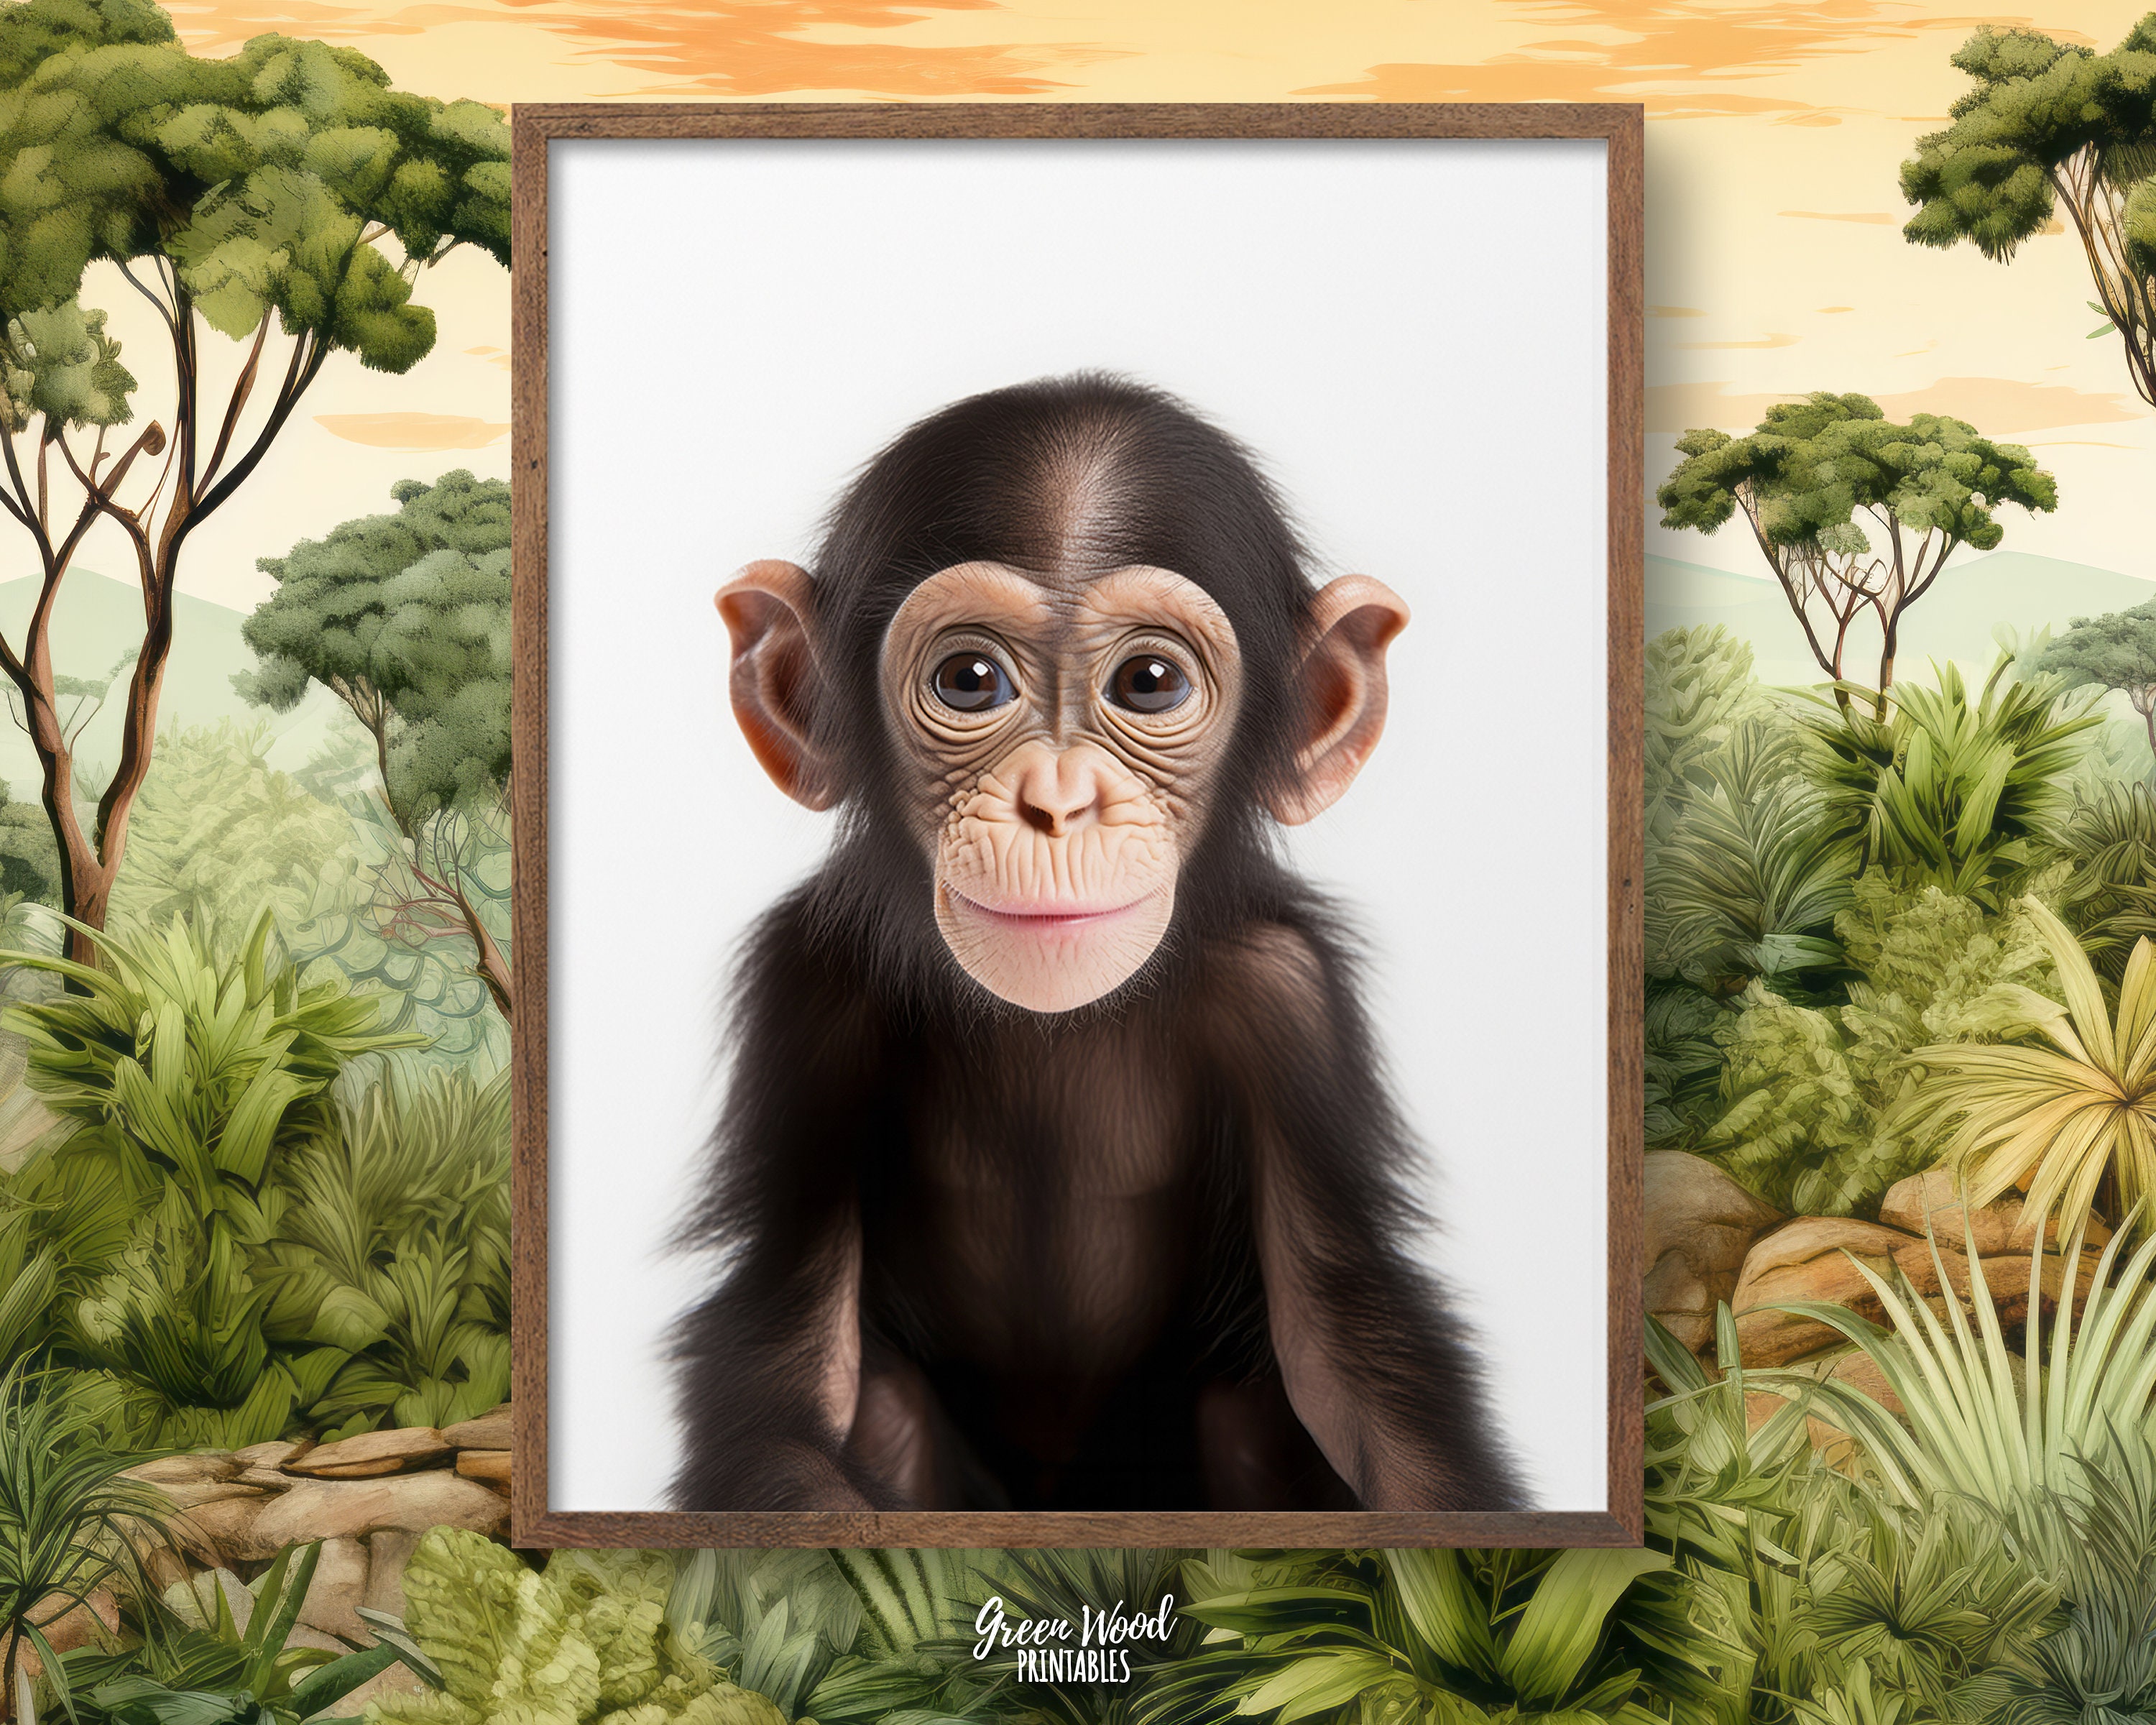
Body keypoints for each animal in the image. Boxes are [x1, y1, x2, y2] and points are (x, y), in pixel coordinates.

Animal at [670, 372, 1525, 1512]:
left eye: (1151, 683)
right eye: (971, 680)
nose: (1059, 802)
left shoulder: (1290, 1003)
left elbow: (1349, 1346)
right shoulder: (804, 995)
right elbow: (783, 1363)